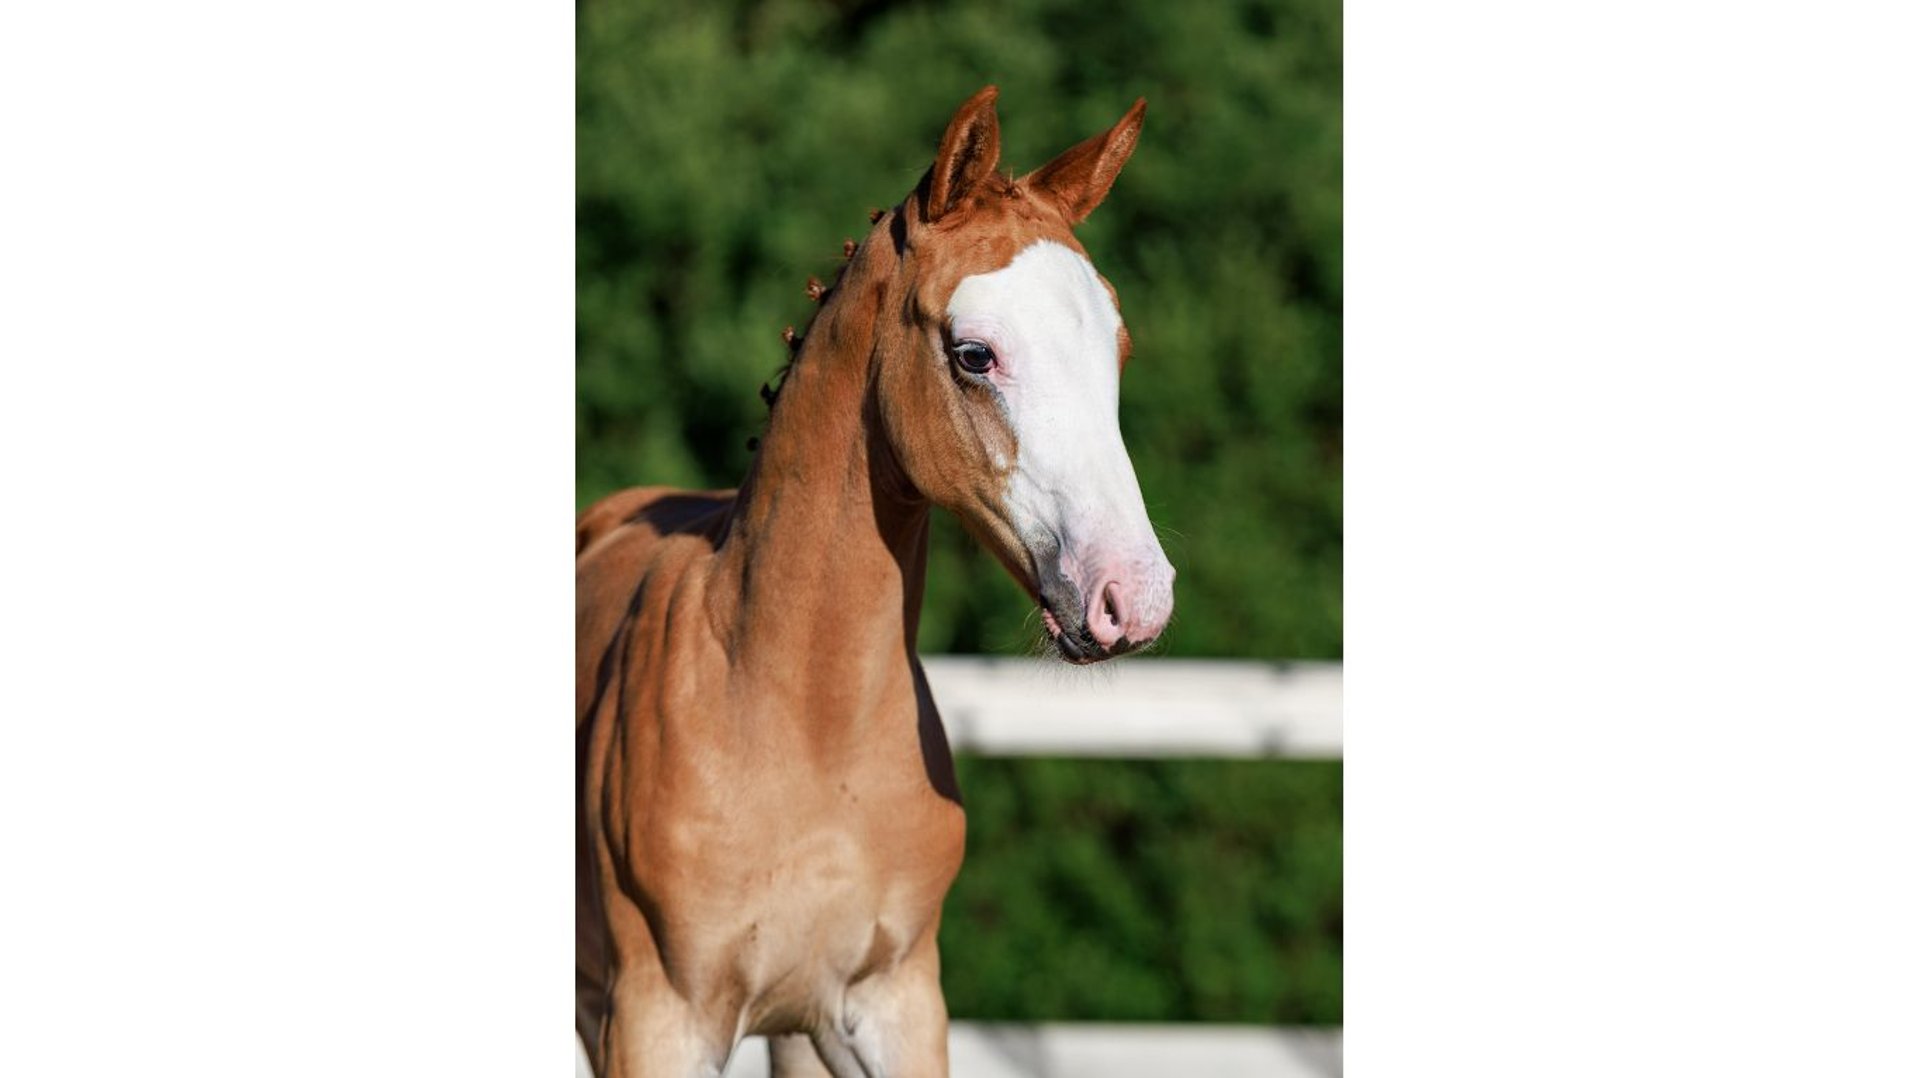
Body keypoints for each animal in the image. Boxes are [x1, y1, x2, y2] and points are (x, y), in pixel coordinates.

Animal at [576, 85, 1176, 1078]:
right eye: (974, 354)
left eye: (1117, 350)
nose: (1133, 596)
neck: (801, 722)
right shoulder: (655, 1020)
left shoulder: (892, 1003)